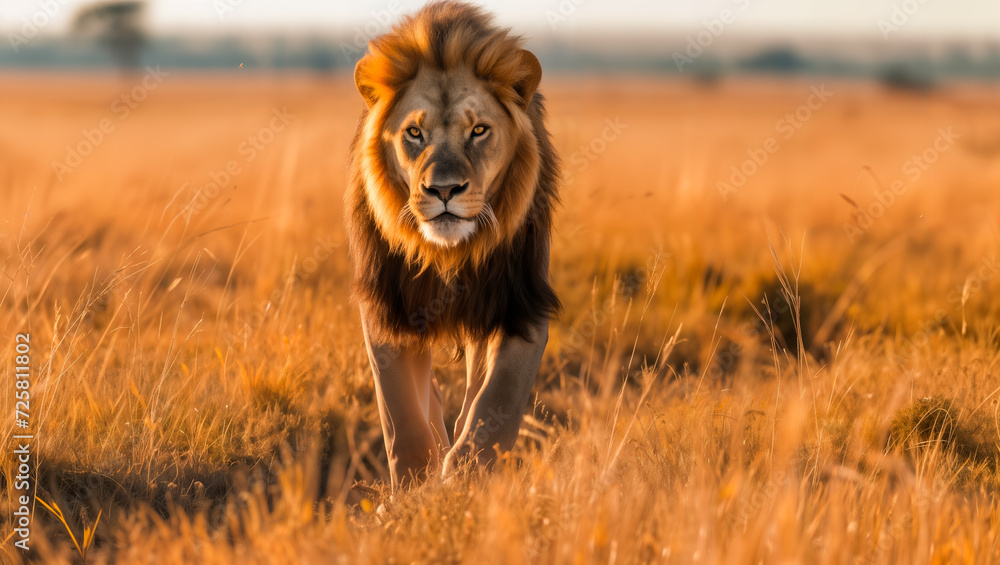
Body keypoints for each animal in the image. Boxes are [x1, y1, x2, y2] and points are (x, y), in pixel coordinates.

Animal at [344, 1, 560, 488]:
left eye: (479, 130)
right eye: (414, 133)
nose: (444, 189)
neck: (447, 254)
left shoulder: (523, 305)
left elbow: (498, 400)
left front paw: (465, 476)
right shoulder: (386, 310)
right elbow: (402, 417)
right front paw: (412, 487)